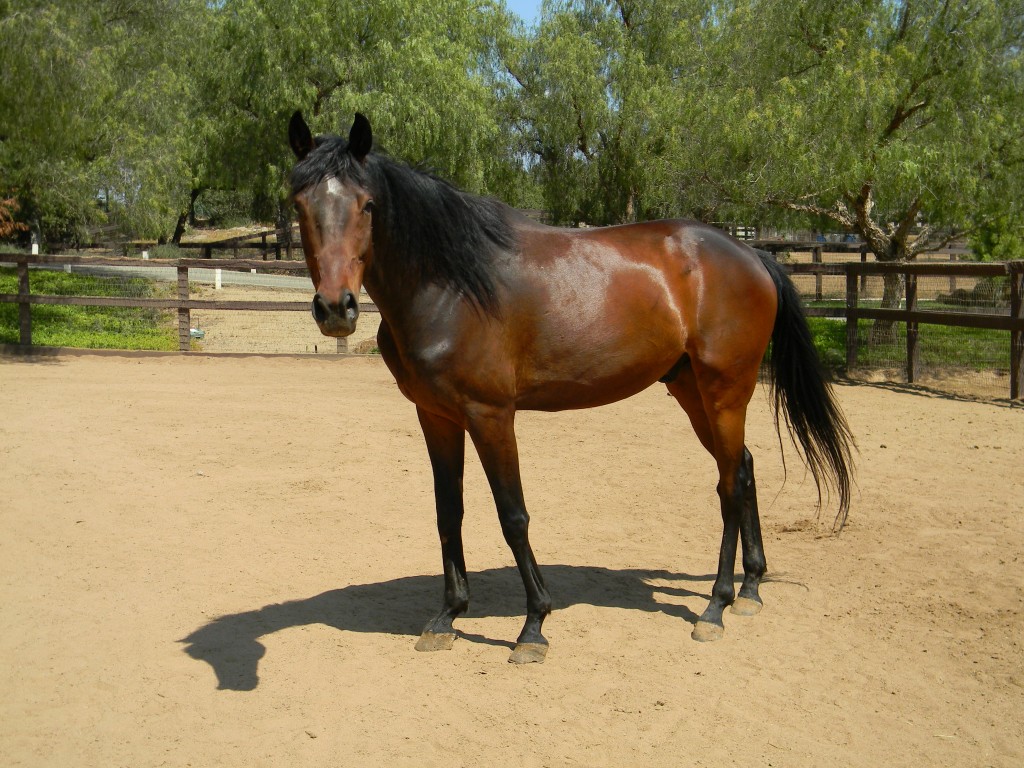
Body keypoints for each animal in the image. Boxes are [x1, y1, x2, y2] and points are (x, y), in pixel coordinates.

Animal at [287, 111, 854, 663]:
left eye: (368, 205)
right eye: (299, 204)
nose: (336, 308)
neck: (450, 285)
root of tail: (750, 254)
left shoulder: (491, 415)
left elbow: (513, 515)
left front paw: (534, 625)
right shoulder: (437, 416)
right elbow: (449, 511)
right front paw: (447, 617)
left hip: (725, 391)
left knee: (731, 484)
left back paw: (716, 606)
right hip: (693, 392)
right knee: (744, 468)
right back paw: (751, 588)